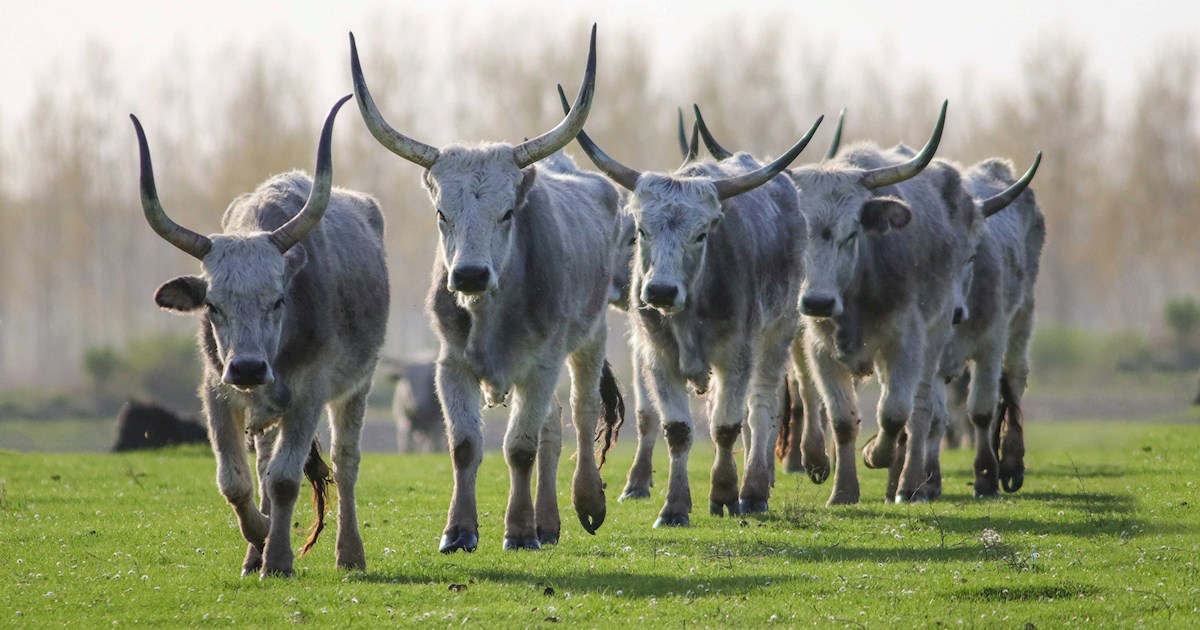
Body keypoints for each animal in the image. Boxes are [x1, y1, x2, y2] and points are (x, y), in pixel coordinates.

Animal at [131, 95, 389, 577]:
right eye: (213, 305)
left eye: (278, 300)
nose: (249, 367)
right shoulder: (216, 391)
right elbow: (234, 480)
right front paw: (260, 537)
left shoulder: (309, 393)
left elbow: (285, 480)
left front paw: (280, 558)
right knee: (265, 465)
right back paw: (257, 553)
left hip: (356, 388)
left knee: (345, 463)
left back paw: (349, 552)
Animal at [350, 26, 625, 553]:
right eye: (442, 213)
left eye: (507, 212)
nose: (470, 275)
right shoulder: (450, 366)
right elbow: (465, 445)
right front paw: (459, 530)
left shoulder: (541, 364)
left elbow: (518, 447)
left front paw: (517, 531)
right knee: (553, 428)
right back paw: (548, 523)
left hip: (590, 337)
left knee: (581, 413)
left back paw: (586, 502)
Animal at [563, 84, 822, 525]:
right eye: (641, 229)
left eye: (701, 234)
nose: (661, 292)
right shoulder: (658, 356)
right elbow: (678, 430)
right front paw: (674, 507)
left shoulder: (736, 355)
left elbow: (727, 426)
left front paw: (725, 494)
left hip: (778, 333)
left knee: (762, 407)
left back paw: (754, 488)